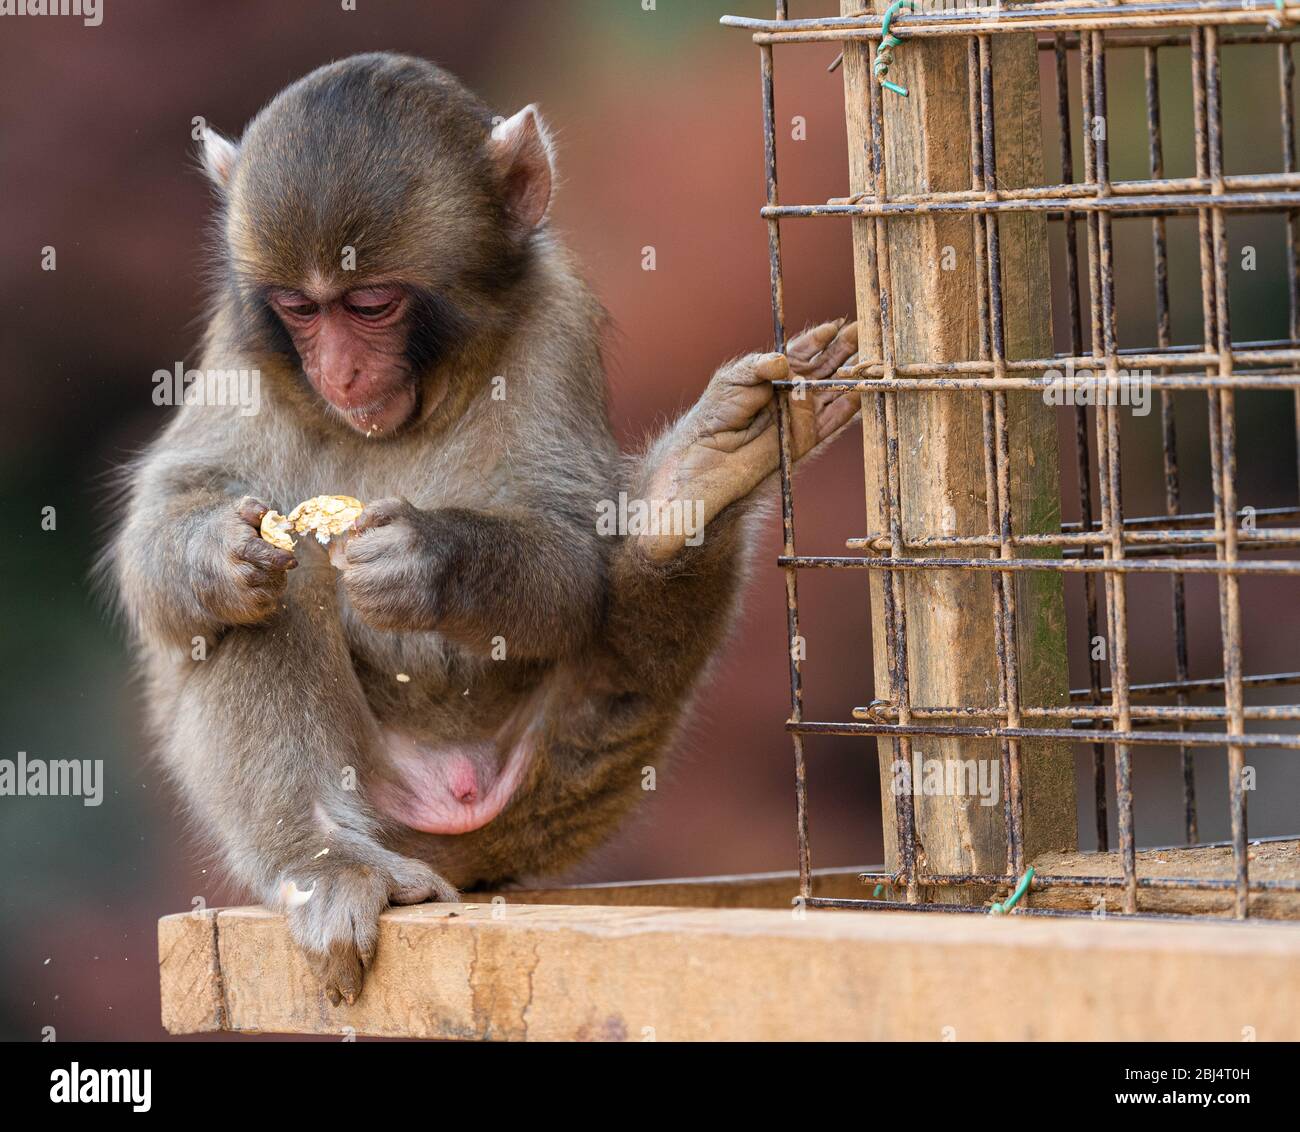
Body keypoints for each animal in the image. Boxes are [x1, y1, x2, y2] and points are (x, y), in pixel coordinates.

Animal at [107, 53, 859, 1005]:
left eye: (372, 304)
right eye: (302, 310)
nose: (339, 373)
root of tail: (453, 816)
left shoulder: (554, 322)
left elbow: (568, 559)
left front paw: (425, 561)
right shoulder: (242, 345)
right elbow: (168, 519)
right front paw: (221, 552)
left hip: (565, 783)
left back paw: (689, 493)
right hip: (386, 802)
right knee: (268, 601)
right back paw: (323, 860)